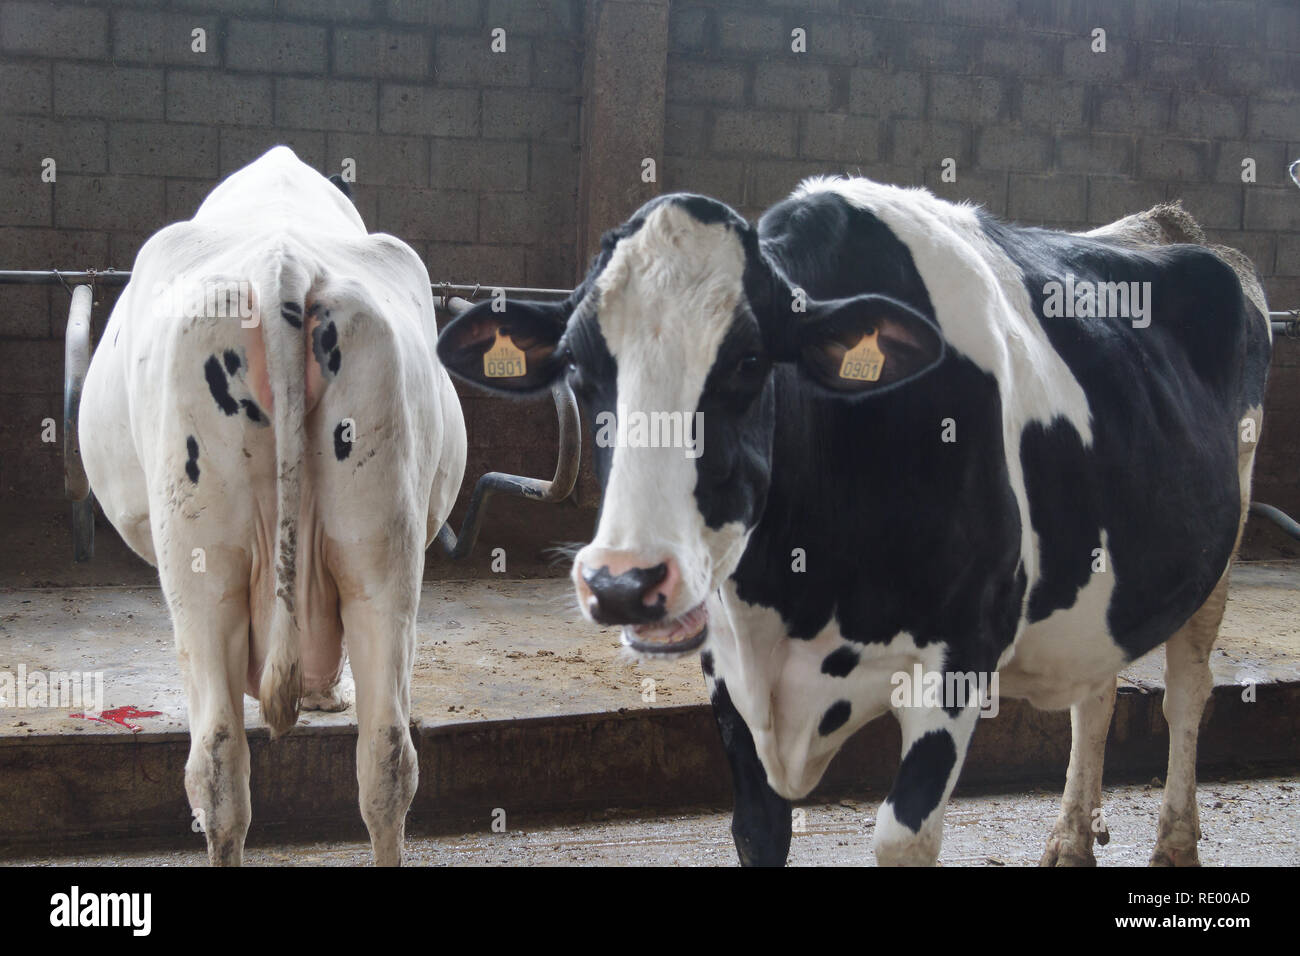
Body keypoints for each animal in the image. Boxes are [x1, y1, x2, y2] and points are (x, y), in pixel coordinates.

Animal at [437, 177, 1271, 866]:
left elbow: (903, 837)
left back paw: (1175, 844)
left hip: (1221, 550)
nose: (623, 583)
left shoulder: (958, 656)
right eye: (580, 366)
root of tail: (1171, 225)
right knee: (1095, 695)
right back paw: (1069, 841)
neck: (791, 596)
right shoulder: (731, 674)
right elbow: (757, 831)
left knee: (1187, 691)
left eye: (748, 362)